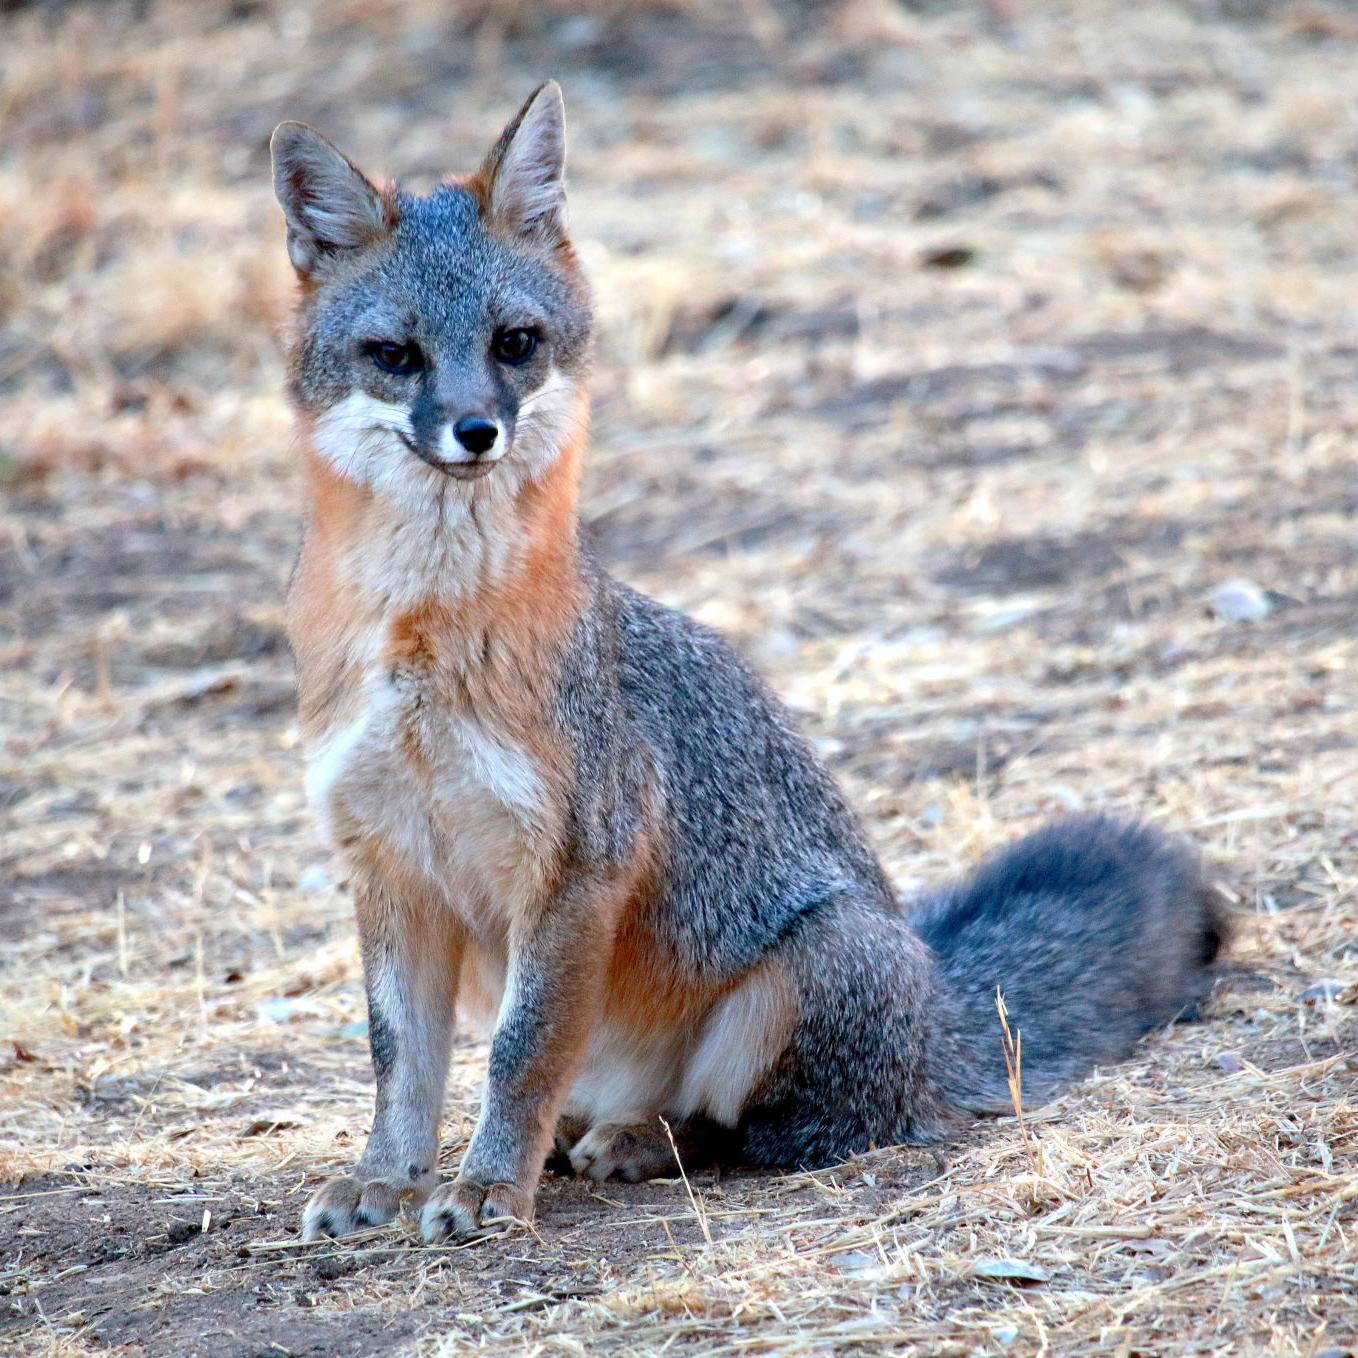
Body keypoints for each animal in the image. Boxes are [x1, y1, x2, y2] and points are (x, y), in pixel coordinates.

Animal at [269, 82, 1226, 1245]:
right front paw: (388, 1176)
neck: (425, 633)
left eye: (514, 341)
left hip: (803, 974)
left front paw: (490, 1185)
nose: (475, 429)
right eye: (395, 354)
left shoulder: (576, 863)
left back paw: (641, 1138)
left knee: (752, 1128)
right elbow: (398, 1058)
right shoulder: (389, 865)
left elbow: (516, 1054)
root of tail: (936, 1003)